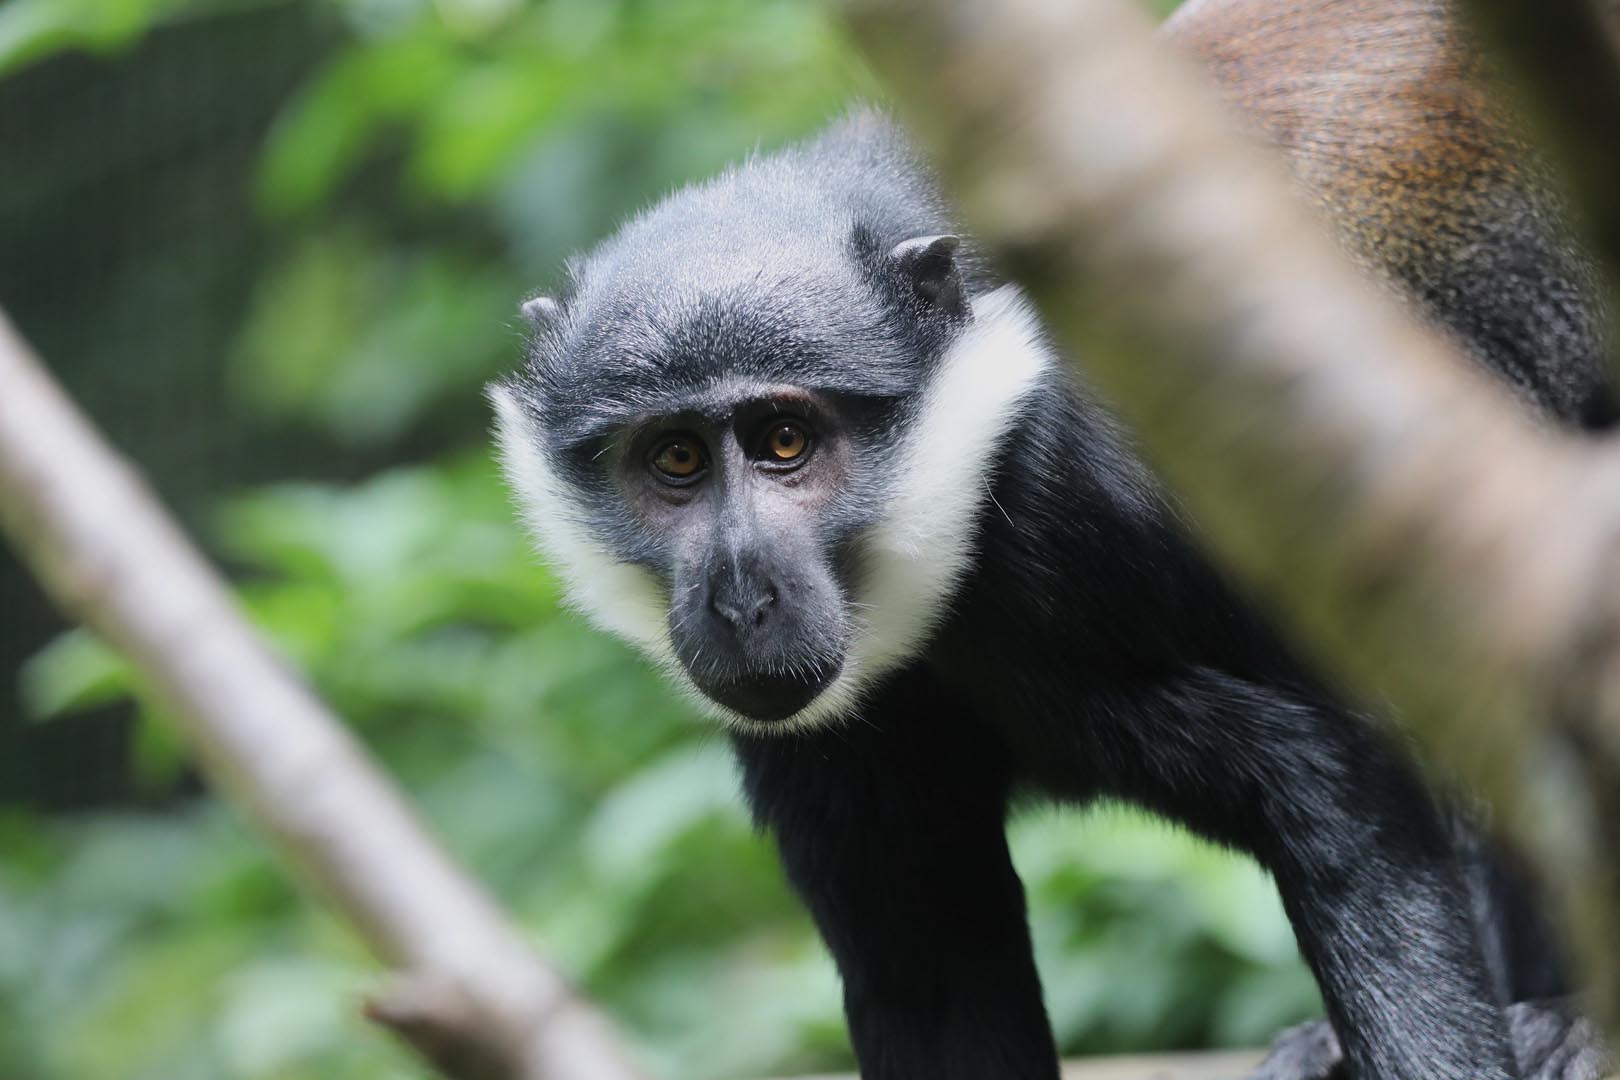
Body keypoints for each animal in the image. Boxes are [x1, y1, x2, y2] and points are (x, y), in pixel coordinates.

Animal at [489, 1, 1613, 1077]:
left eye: (784, 441)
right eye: (675, 459)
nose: (739, 596)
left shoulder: (1118, 504)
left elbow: (1352, 792)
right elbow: (931, 965)